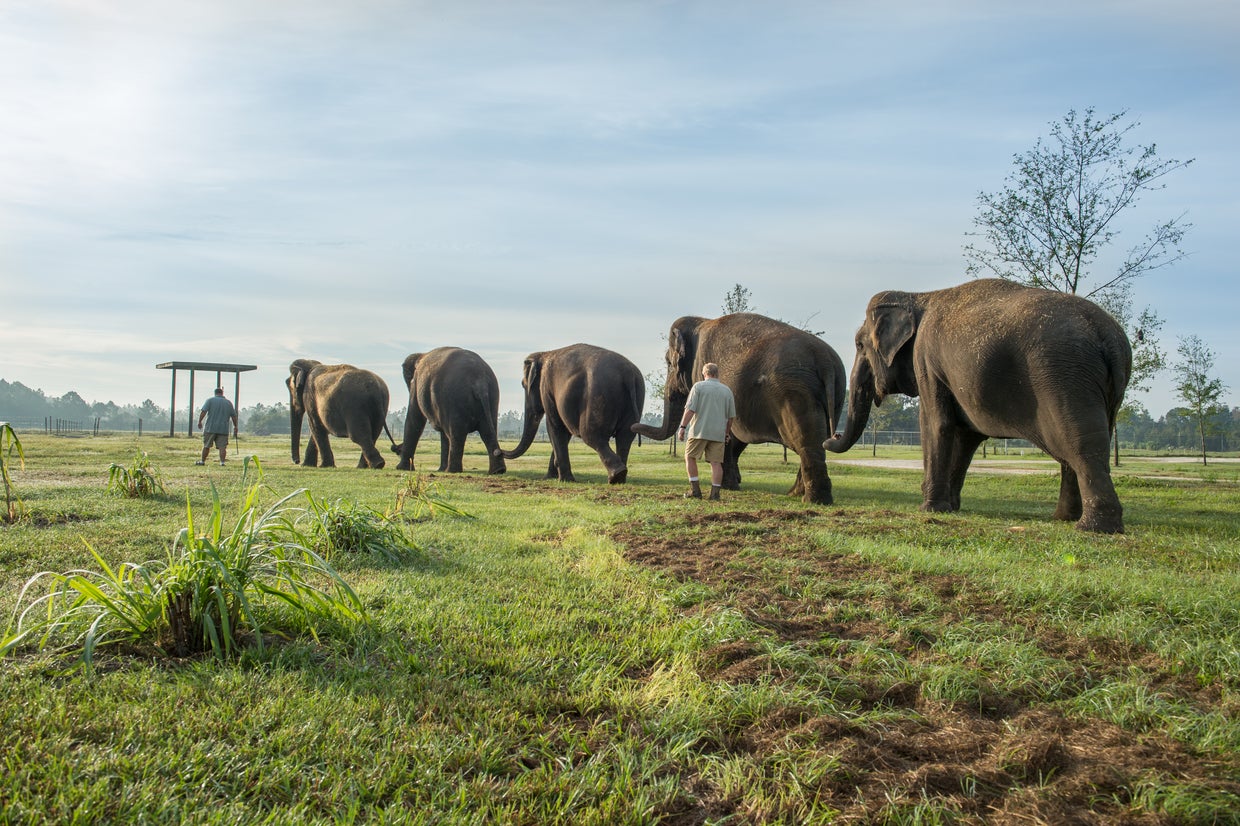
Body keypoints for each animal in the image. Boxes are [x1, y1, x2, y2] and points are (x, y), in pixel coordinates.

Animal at [496, 344, 645, 484]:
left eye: (523, 384)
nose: (499, 451)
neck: (544, 354)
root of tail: (628, 373)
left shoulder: (547, 389)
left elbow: (555, 426)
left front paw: (564, 480)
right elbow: (564, 432)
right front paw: (551, 477)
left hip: (599, 396)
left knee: (592, 435)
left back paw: (616, 476)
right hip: (636, 397)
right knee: (625, 438)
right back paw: (620, 478)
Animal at [632, 313, 846, 505]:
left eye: (669, 362)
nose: (634, 428)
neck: (700, 322)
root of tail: (824, 360)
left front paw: (728, 486)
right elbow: (733, 435)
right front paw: (734, 483)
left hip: (794, 393)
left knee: (806, 443)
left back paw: (813, 499)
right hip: (835, 395)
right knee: (819, 439)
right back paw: (795, 493)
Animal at [825, 278, 1132, 533]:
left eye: (859, 345)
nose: (831, 436)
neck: (918, 296)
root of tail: (1108, 336)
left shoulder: (926, 359)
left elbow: (936, 424)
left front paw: (930, 508)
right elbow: (966, 435)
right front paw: (950, 507)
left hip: (1065, 378)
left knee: (1079, 444)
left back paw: (1094, 527)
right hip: (1107, 390)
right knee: (1086, 444)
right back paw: (1064, 518)